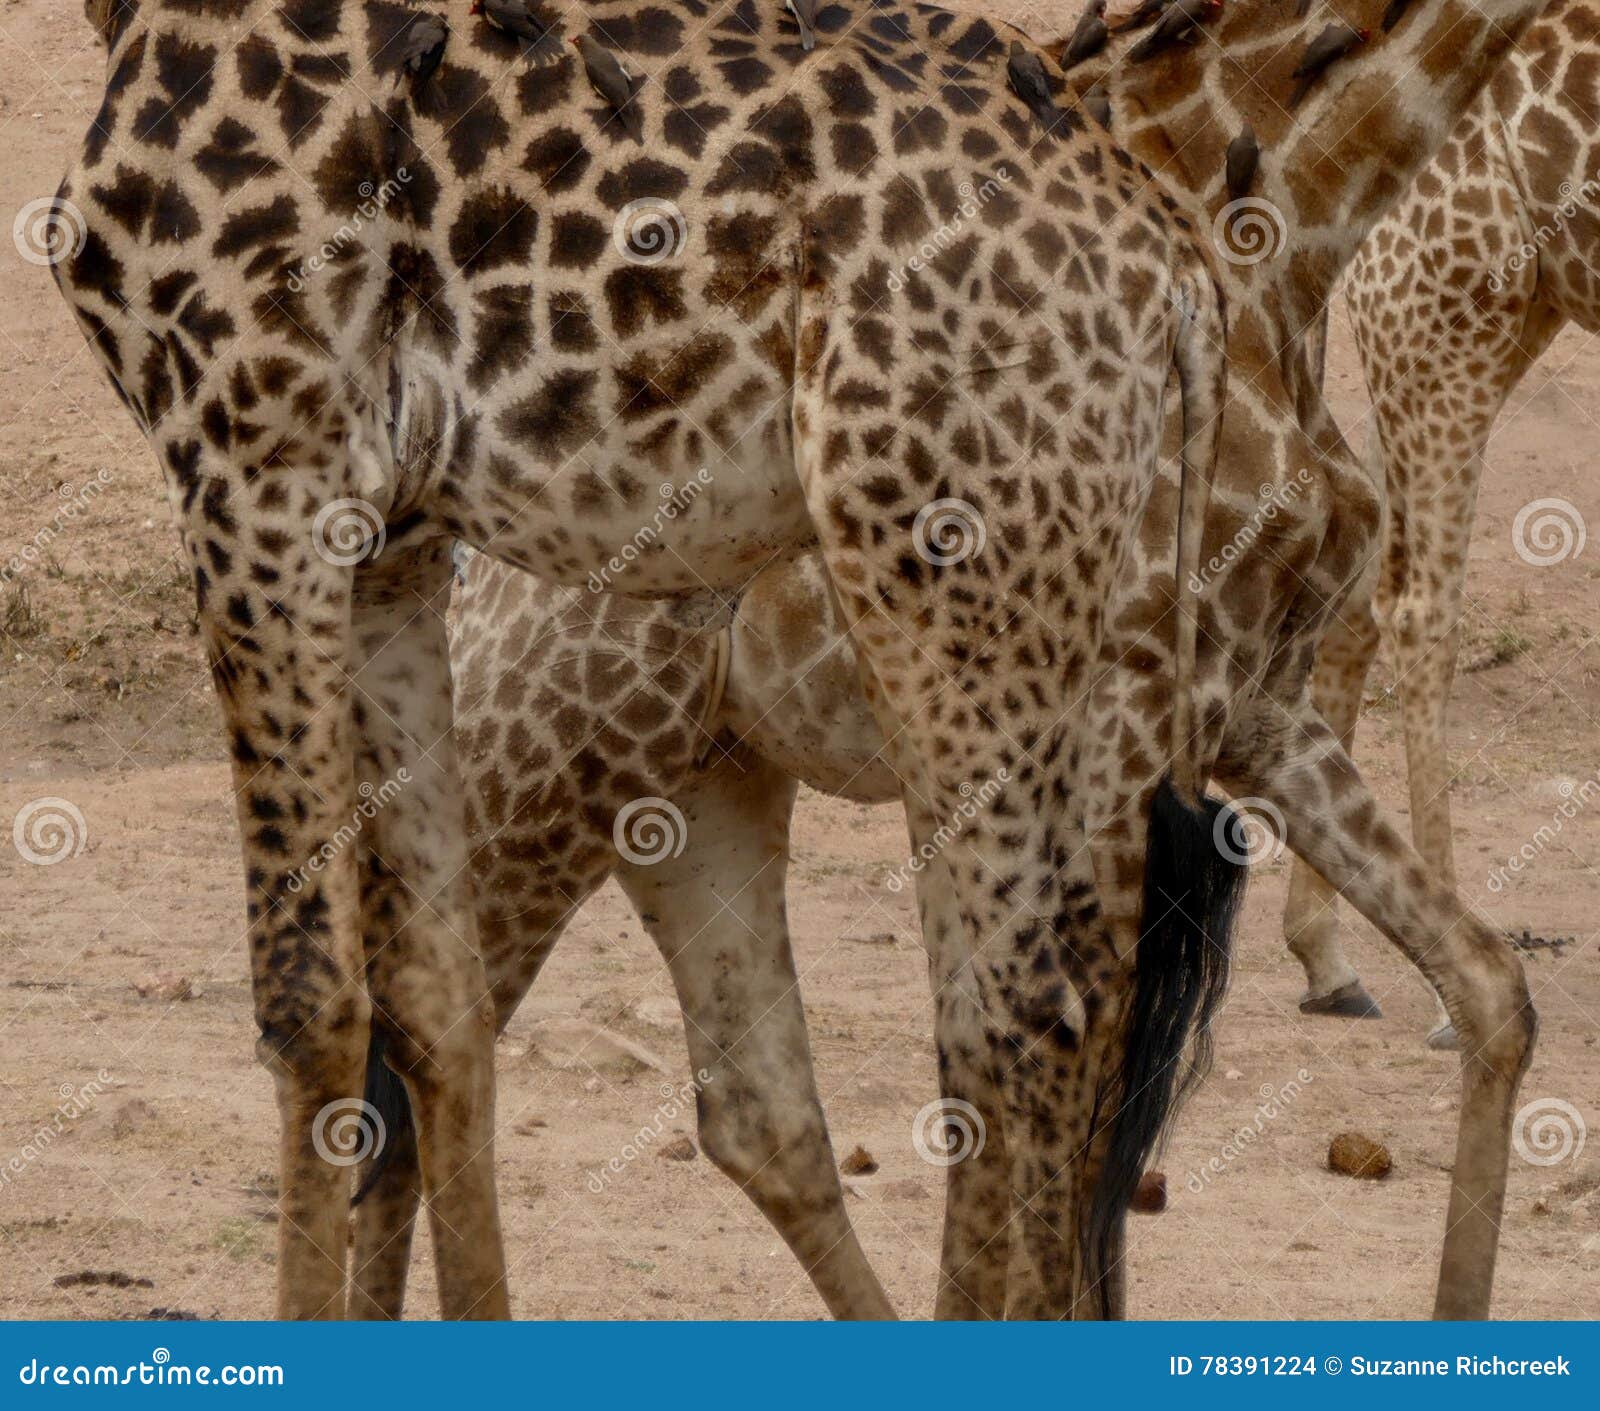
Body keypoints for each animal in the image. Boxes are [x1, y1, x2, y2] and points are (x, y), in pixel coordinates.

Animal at [58, 0, 1237, 1318]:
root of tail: (1178, 277)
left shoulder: (258, 457)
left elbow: (309, 996)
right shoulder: (388, 537)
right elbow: (435, 999)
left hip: (941, 558)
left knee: (1015, 1016)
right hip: (1057, 623)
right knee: (1050, 1020)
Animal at [1283, 0, 1600, 1047]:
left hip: (1502, 307)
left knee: (1357, 589)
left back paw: (1328, 958)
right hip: (1441, 311)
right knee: (1419, 609)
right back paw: (1447, 990)